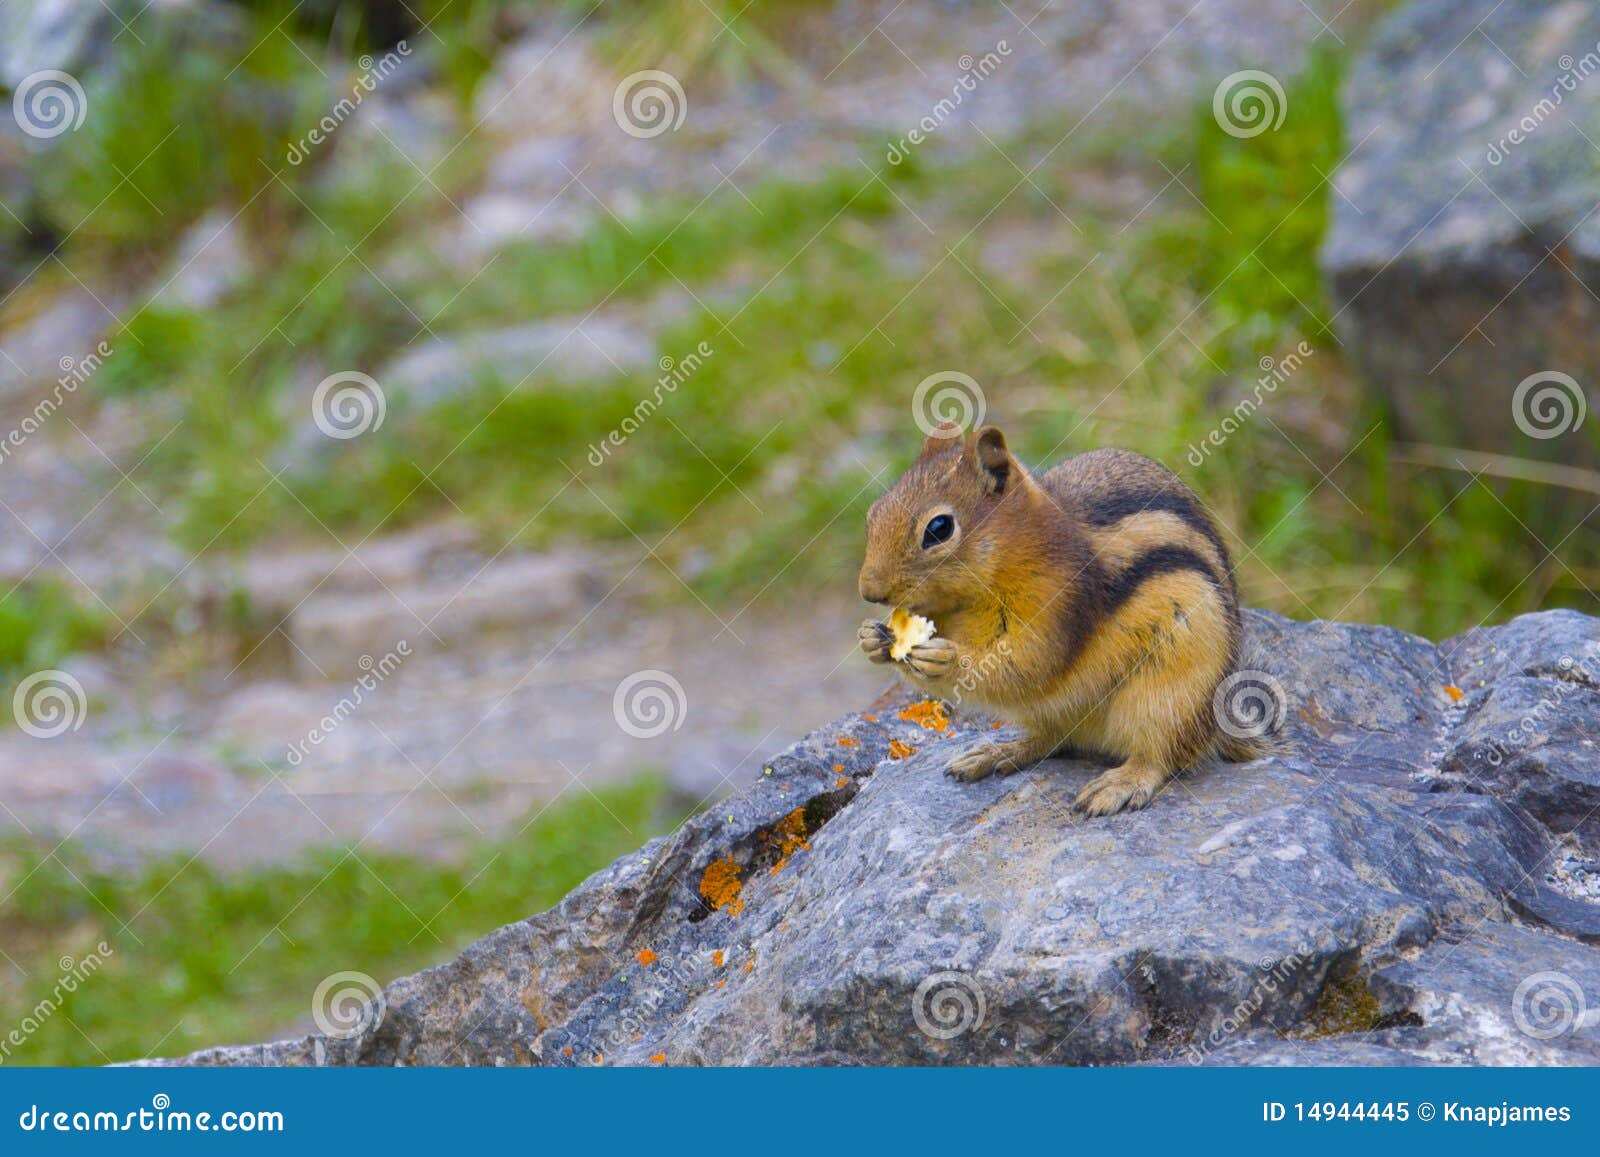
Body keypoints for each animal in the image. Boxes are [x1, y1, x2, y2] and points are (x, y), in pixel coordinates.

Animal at [857, 421, 1263, 816]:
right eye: (873, 513)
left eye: (938, 528)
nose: (868, 591)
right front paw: (872, 638)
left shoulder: (1058, 604)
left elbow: (1032, 664)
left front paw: (946, 659)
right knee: (1054, 739)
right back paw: (998, 752)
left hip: (1169, 696)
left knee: (1160, 755)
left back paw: (1120, 784)